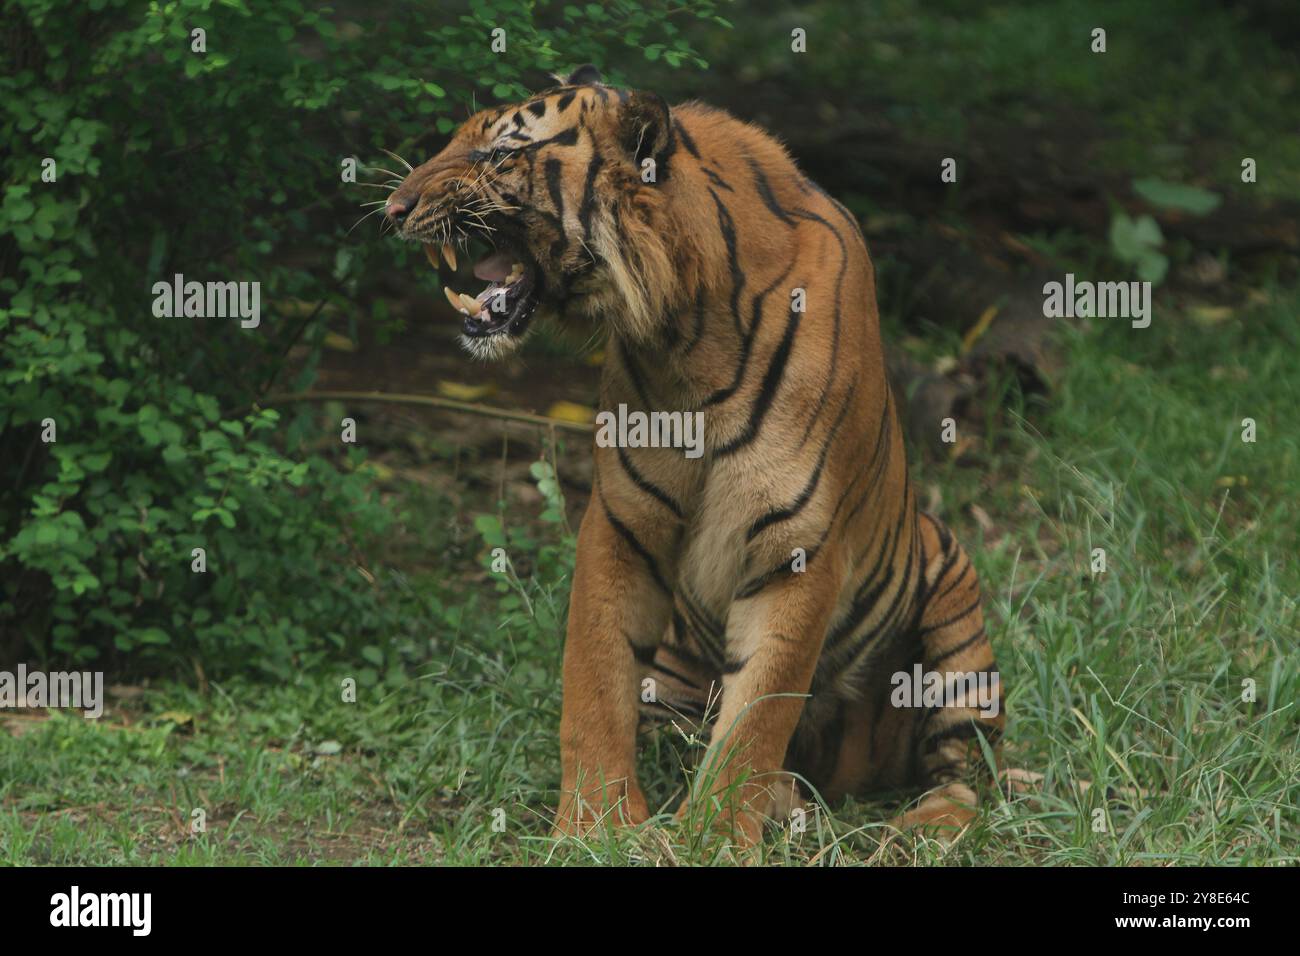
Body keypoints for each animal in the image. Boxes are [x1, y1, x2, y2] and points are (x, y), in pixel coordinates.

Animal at [383, 65, 1005, 846]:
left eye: (500, 154)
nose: (392, 208)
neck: (686, 330)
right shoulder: (621, 523)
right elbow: (595, 681)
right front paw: (595, 824)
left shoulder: (797, 549)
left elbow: (755, 719)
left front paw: (711, 837)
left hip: (954, 601)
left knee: (964, 771)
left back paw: (915, 824)